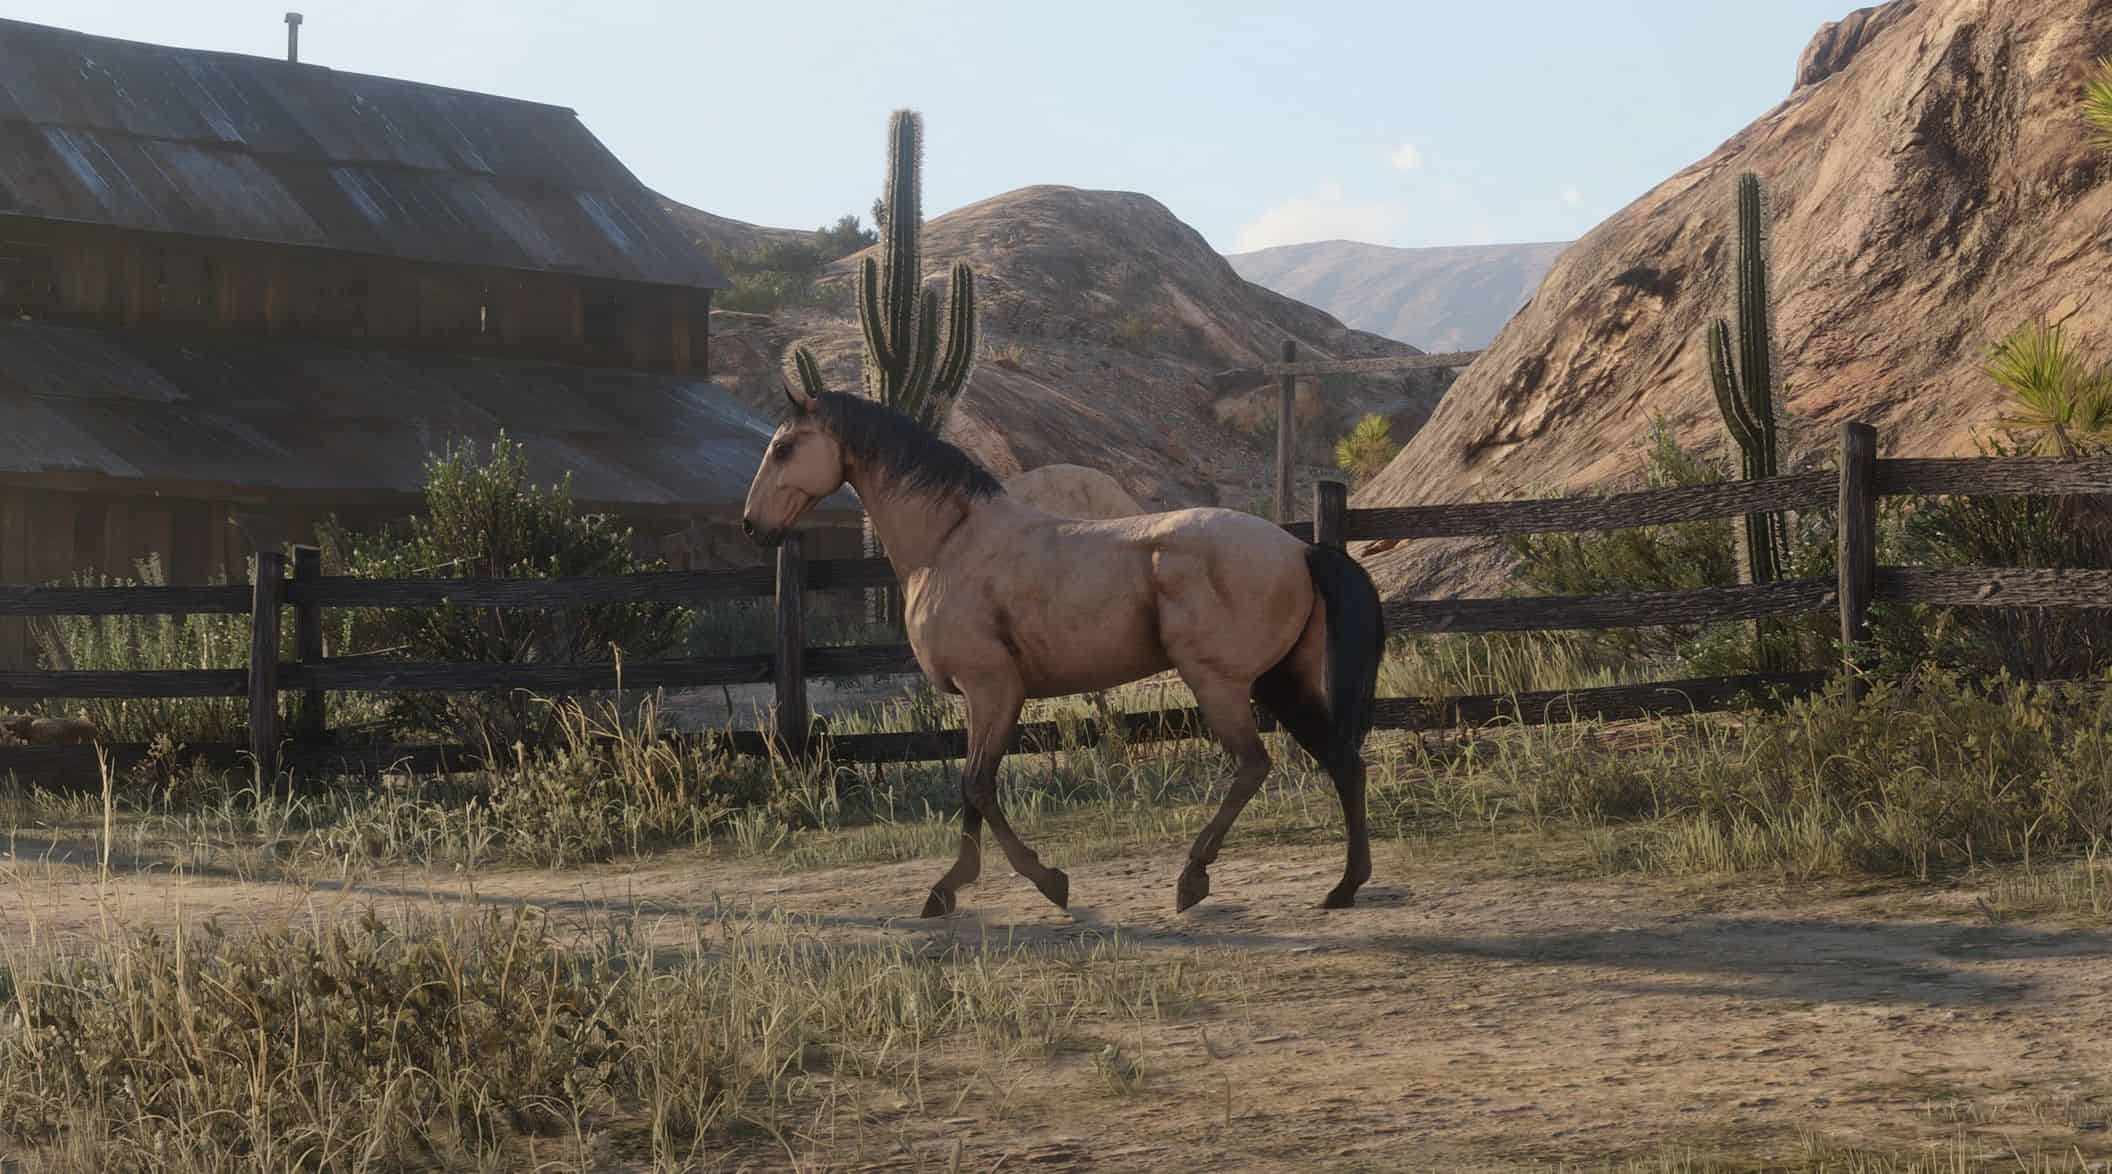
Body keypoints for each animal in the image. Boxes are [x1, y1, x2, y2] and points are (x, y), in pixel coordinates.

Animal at [741, 382, 1385, 916]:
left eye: (784, 447)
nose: (752, 525)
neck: (950, 544)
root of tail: (1299, 549)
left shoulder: (993, 689)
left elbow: (977, 784)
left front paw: (1047, 882)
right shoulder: (980, 698)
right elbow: (971, 787)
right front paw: (948, 890)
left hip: (1221, 683)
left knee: (1255, 764)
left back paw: (1193, 879)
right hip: (1282, 681)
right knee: (1342, 760)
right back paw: (1344, 887)